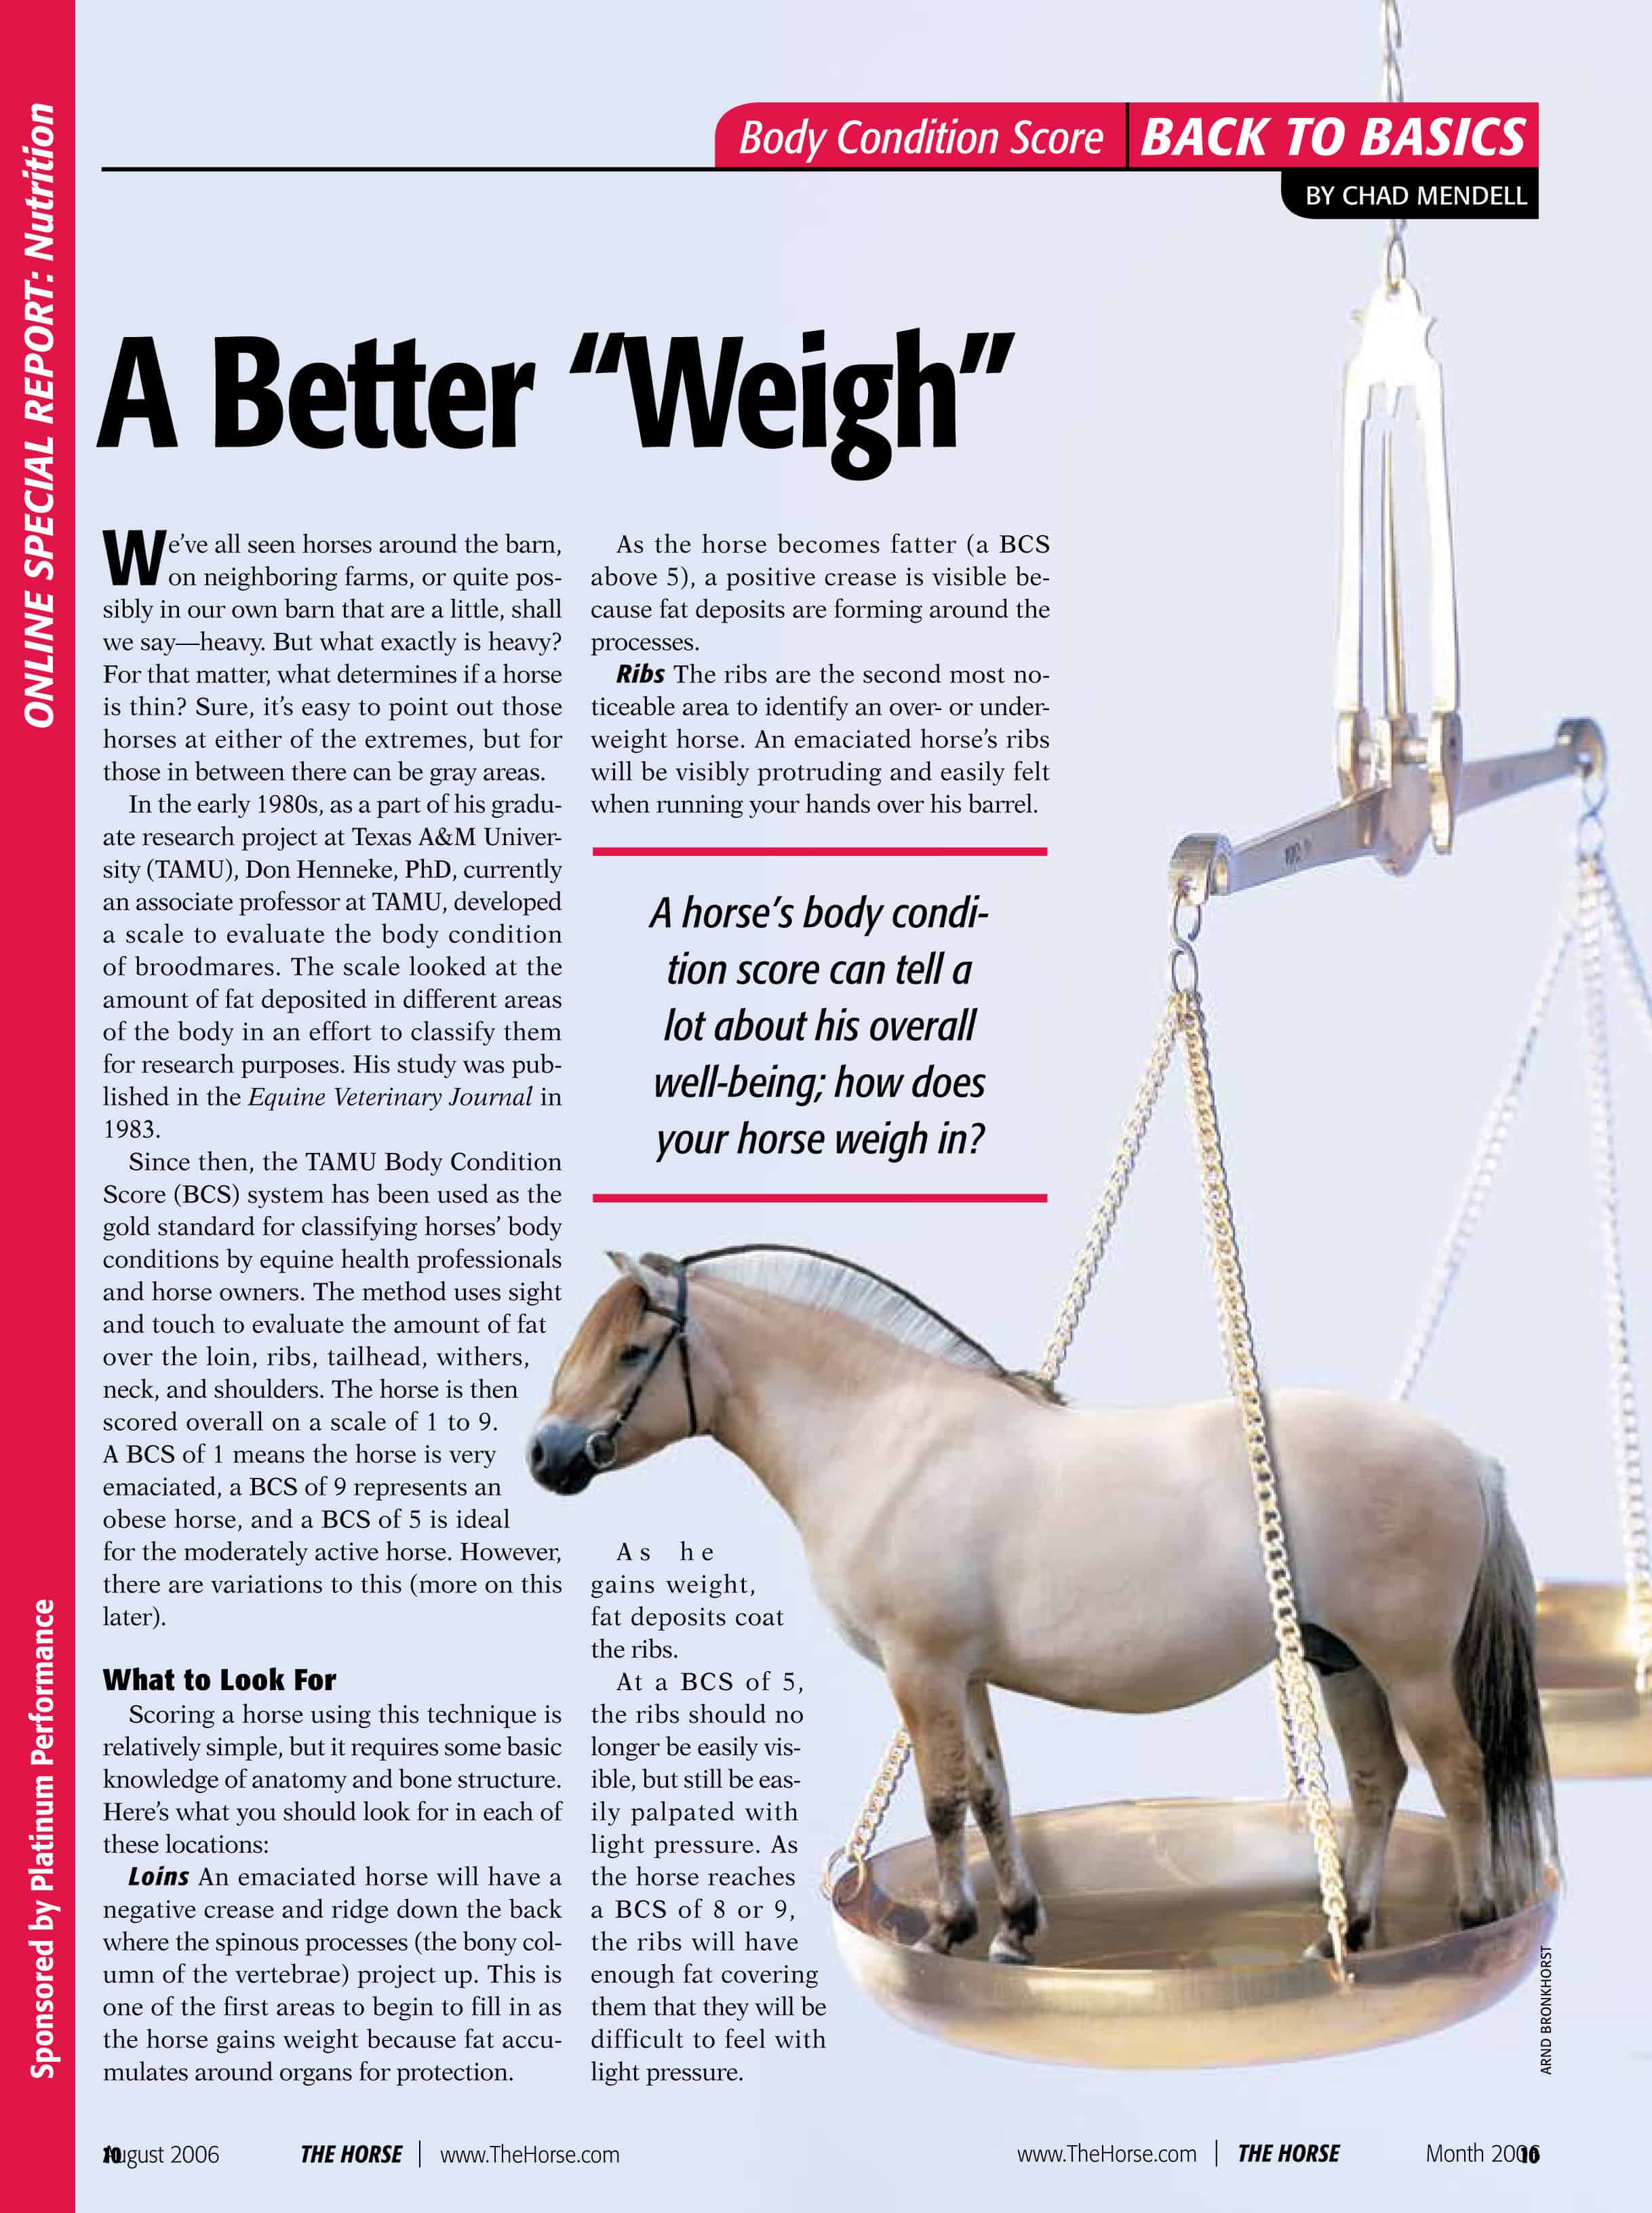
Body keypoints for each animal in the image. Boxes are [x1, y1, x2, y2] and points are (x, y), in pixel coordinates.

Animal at [527, 1244, 1556, 1965]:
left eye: (631, 1351)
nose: (546, 1454)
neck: (885, 1434)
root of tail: (1469, 1455)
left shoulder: (921, 1667)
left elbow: (942, 1800)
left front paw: (949, 1928)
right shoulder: (967, 1673)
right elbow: (991, 1792)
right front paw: (1015, 1927)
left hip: (1408, 1664)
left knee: (1459, 1772)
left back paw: (1469, 1919)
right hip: (1340, 1660)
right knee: (1379, 1778)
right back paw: (1347, 1931)